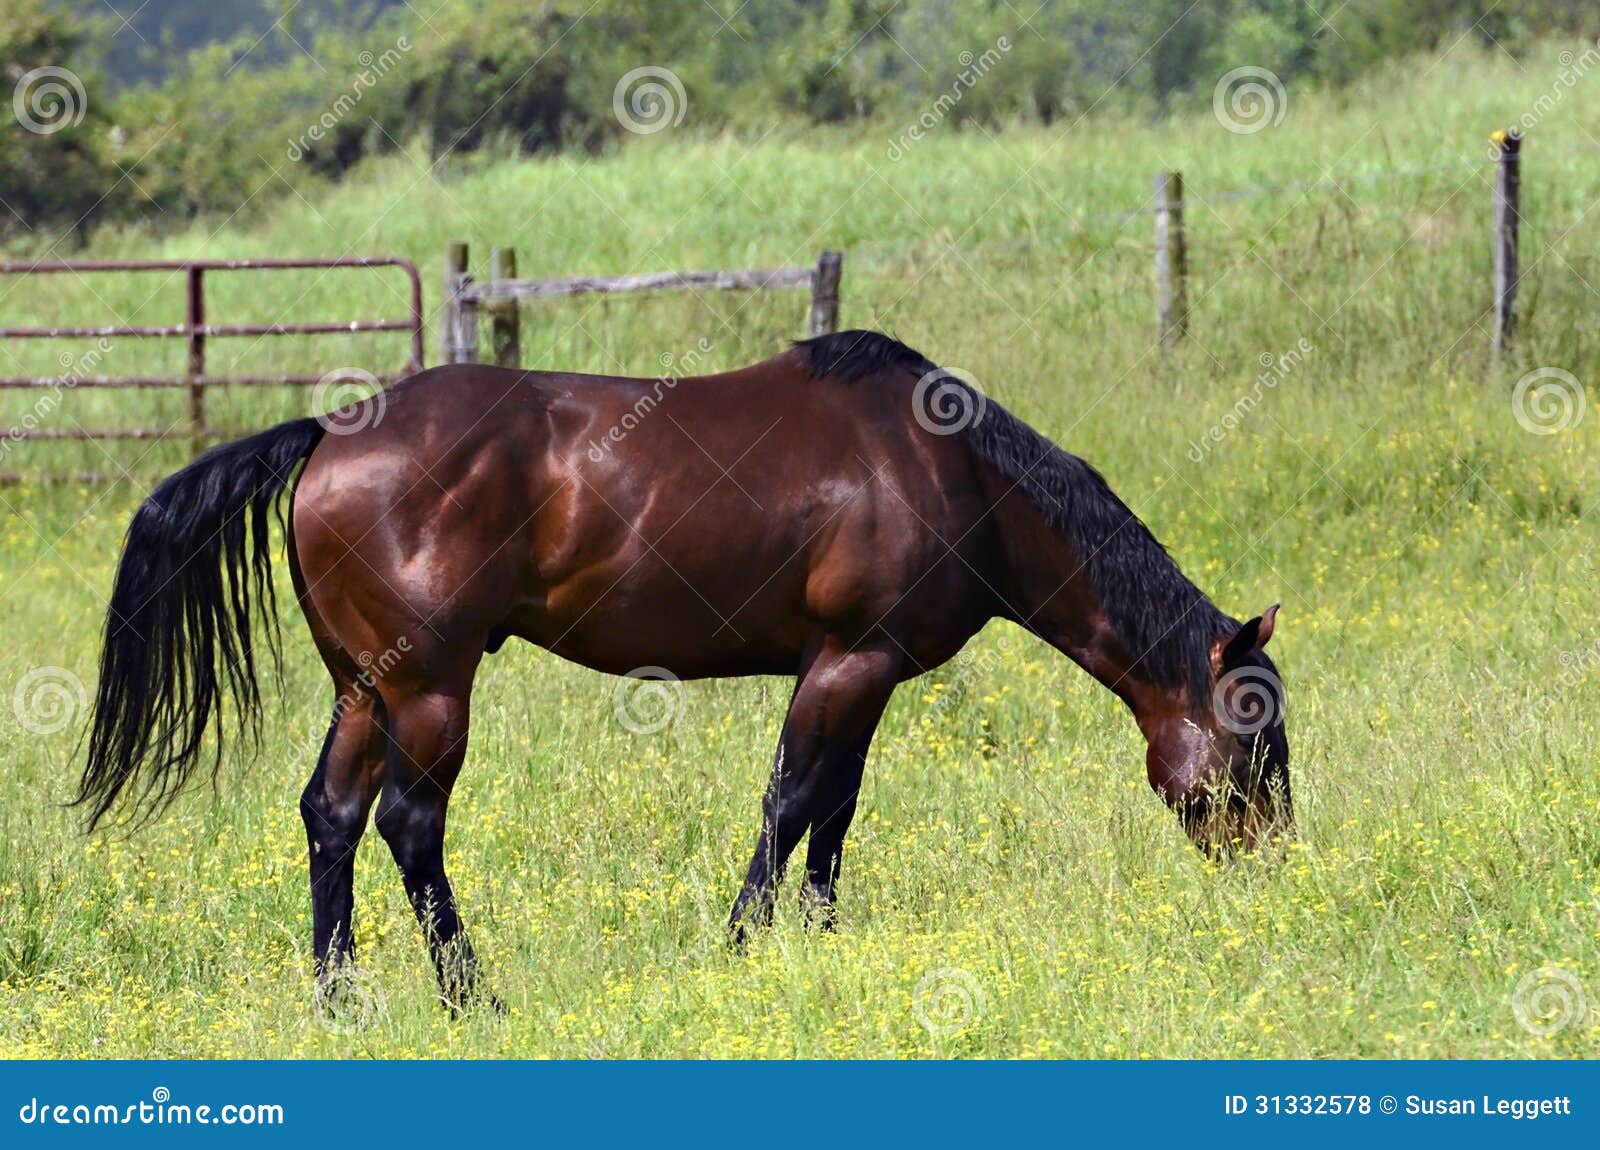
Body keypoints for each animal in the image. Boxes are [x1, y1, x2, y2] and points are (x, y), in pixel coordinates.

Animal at [76, 330, 1291, 1007]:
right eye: (1256, 736)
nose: (1278, 870)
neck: (952, 474)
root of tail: (328, 433)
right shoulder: (846, 664)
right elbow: (793, 801)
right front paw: (744, 941)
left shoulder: (869, 677)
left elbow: (837, 809)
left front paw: (823, 939)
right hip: (428, 689)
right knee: (408, 827)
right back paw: (474, 999)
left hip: (364, 690)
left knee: (329, 815)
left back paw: (340, 1000)